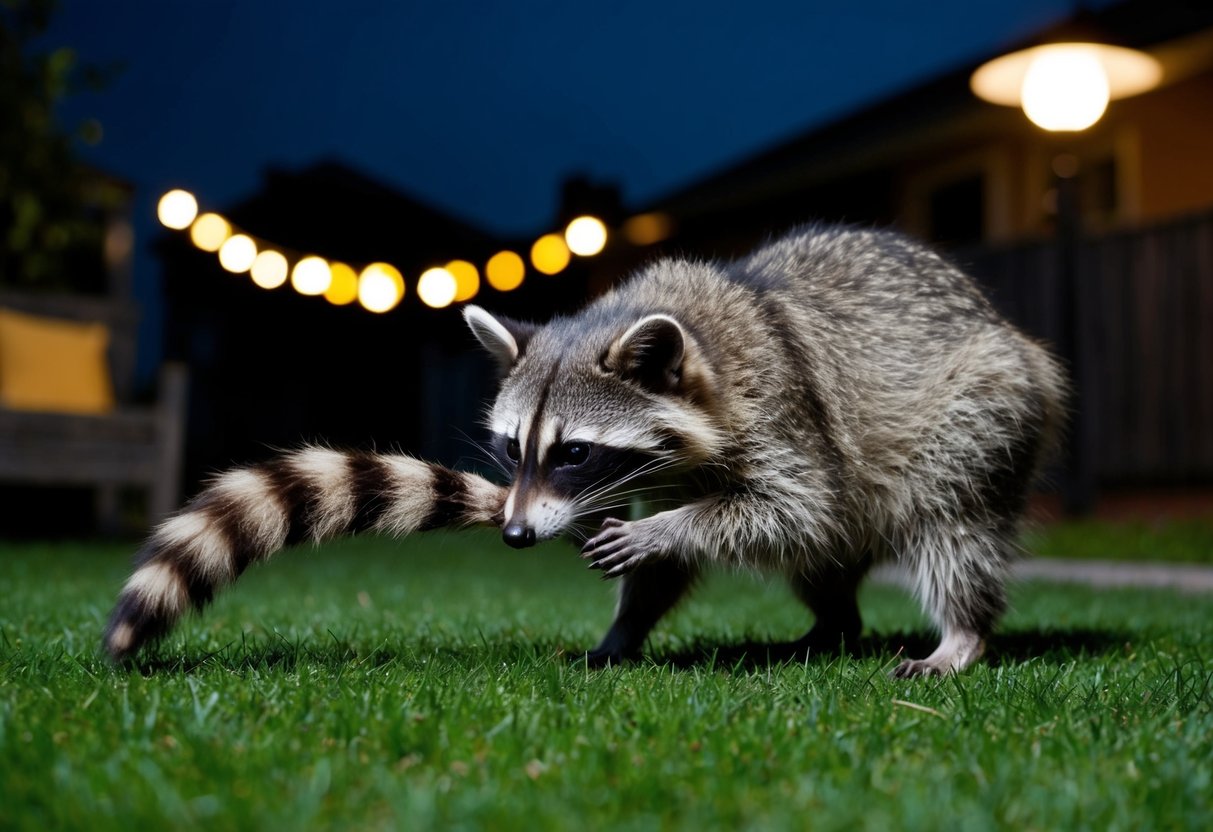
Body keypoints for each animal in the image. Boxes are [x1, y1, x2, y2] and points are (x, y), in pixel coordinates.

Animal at [105, 224, 1065, 676]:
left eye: (571, 453)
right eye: (510, 447)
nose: (516, 534)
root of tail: (1014, 336)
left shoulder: (783, 406)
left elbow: (793, 505)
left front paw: (668, 530)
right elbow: (718, 551)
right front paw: (624, 625)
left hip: (987, 409)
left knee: (947, 523)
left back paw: (960, 631)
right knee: (823, 561)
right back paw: (832, 620)